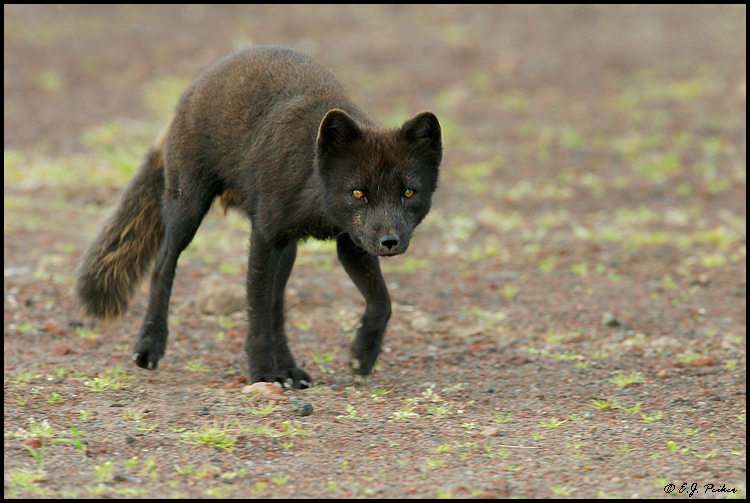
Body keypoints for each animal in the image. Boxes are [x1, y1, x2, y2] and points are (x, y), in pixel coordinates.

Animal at [75, 45, 442, 389]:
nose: (390, 242)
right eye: (358, 193)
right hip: (188, 209)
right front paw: (262, 371)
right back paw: (150, 346)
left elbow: (382, 302)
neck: (313, 191)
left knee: (277, 304)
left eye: (408, 193)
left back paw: (290, 370)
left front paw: (362, 355)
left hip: (287, 248)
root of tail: (194, 87)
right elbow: (256, 311)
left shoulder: (350, 243)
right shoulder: (265, 236)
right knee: (164, 266)